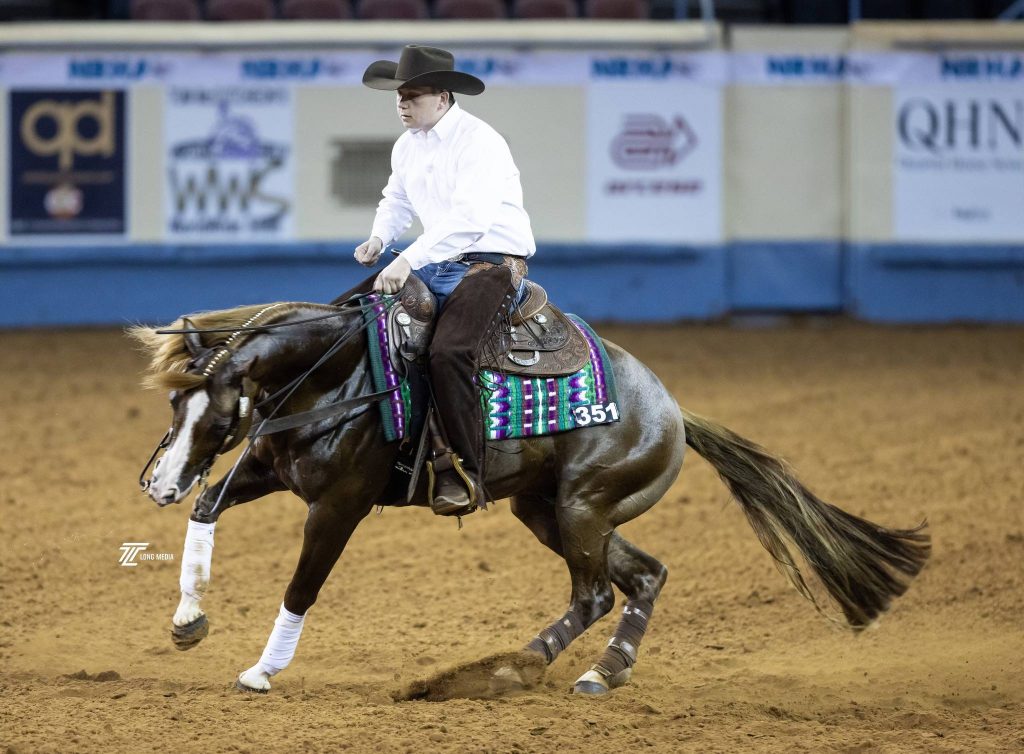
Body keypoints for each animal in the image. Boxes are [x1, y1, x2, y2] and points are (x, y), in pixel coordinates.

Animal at [130, 295, 931, 697]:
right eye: (173, 404)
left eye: (218, 411)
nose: (160, 482)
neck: (338, 375)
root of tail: (672, 408)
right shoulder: (268, 471)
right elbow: (207, 511)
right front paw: (187, 621)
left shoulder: (340, 506)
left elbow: (303, 586)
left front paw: (262, 671)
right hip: (550, 511)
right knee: (644, 576)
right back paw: (596, 670)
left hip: (582, 508)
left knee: (596, 592)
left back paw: (519, 666)